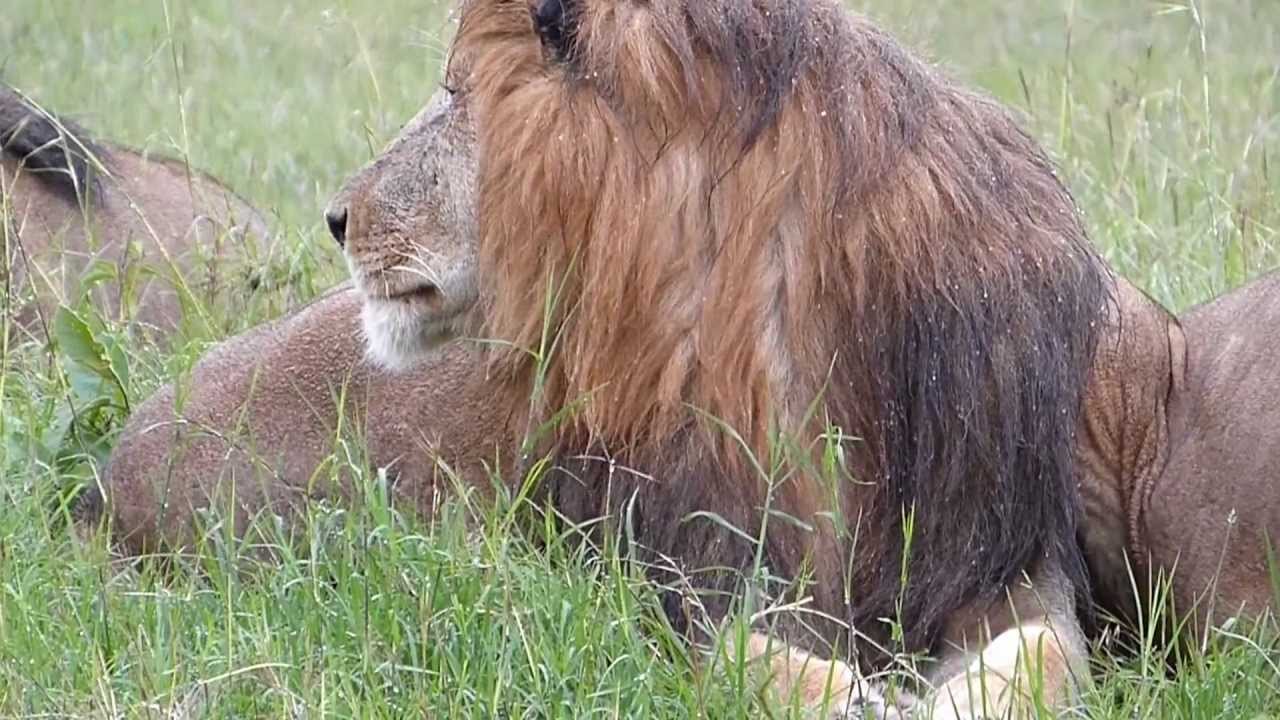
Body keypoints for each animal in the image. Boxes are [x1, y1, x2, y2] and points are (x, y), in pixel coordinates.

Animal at [323, 0, 1122, 716]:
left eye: (456, 94)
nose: (334, 217)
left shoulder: (995, 555)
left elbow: (1051, 653)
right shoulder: (656, 579)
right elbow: (738, 653)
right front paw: (852, 698)